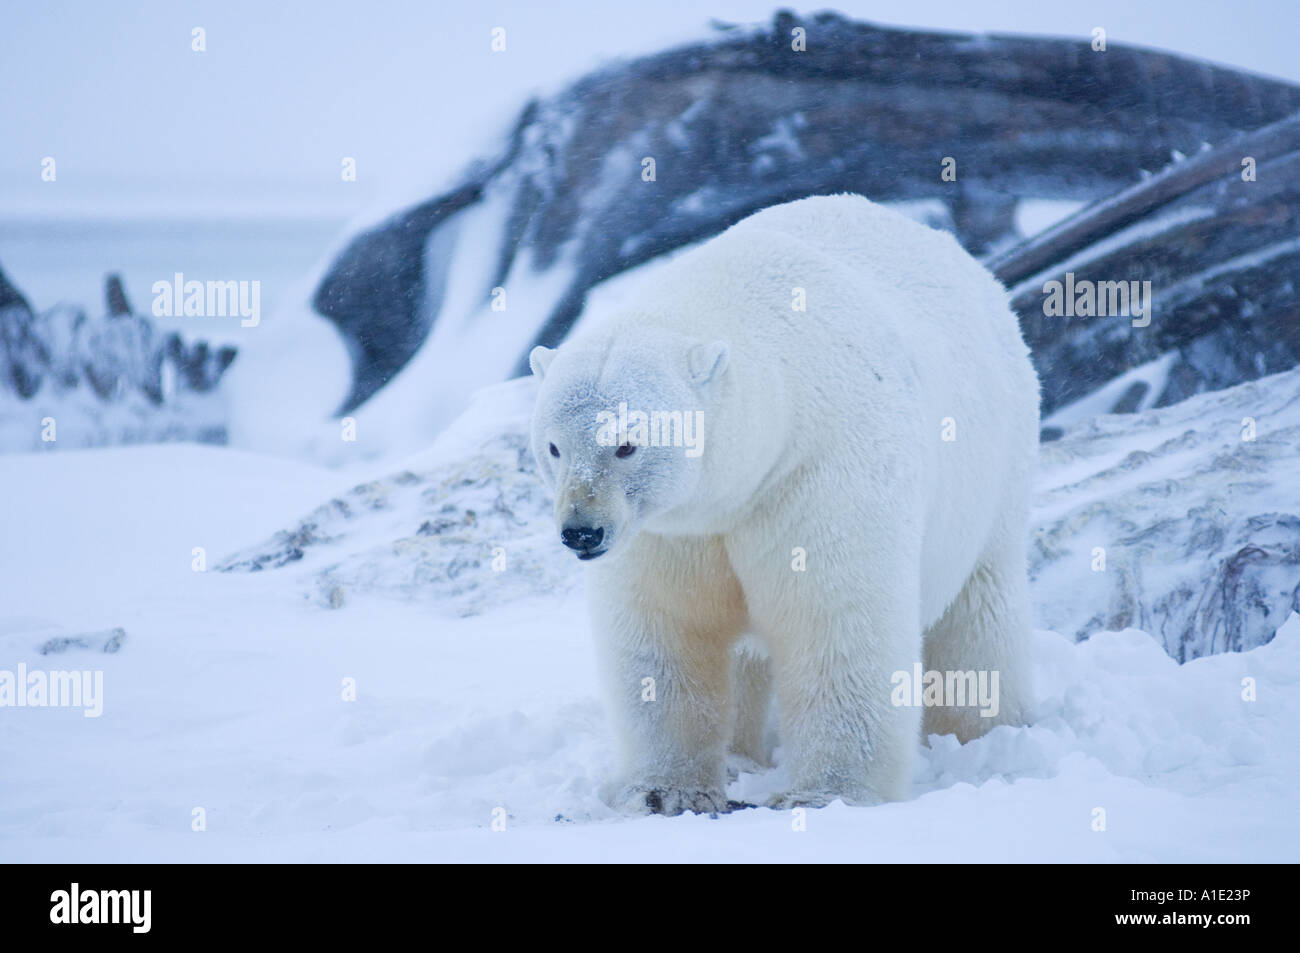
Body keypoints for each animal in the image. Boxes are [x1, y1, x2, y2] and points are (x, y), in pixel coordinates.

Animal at [528, 193, 1039, 814]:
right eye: (554, 446)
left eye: (627, 443)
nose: (582, 531)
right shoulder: (668, 531)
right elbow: (665, 632)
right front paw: (665, 792)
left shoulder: (821, 472)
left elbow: (835, 618)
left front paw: (823, 795)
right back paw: (742, 757)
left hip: (996, 473)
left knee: (978, 618)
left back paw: (987, 740)